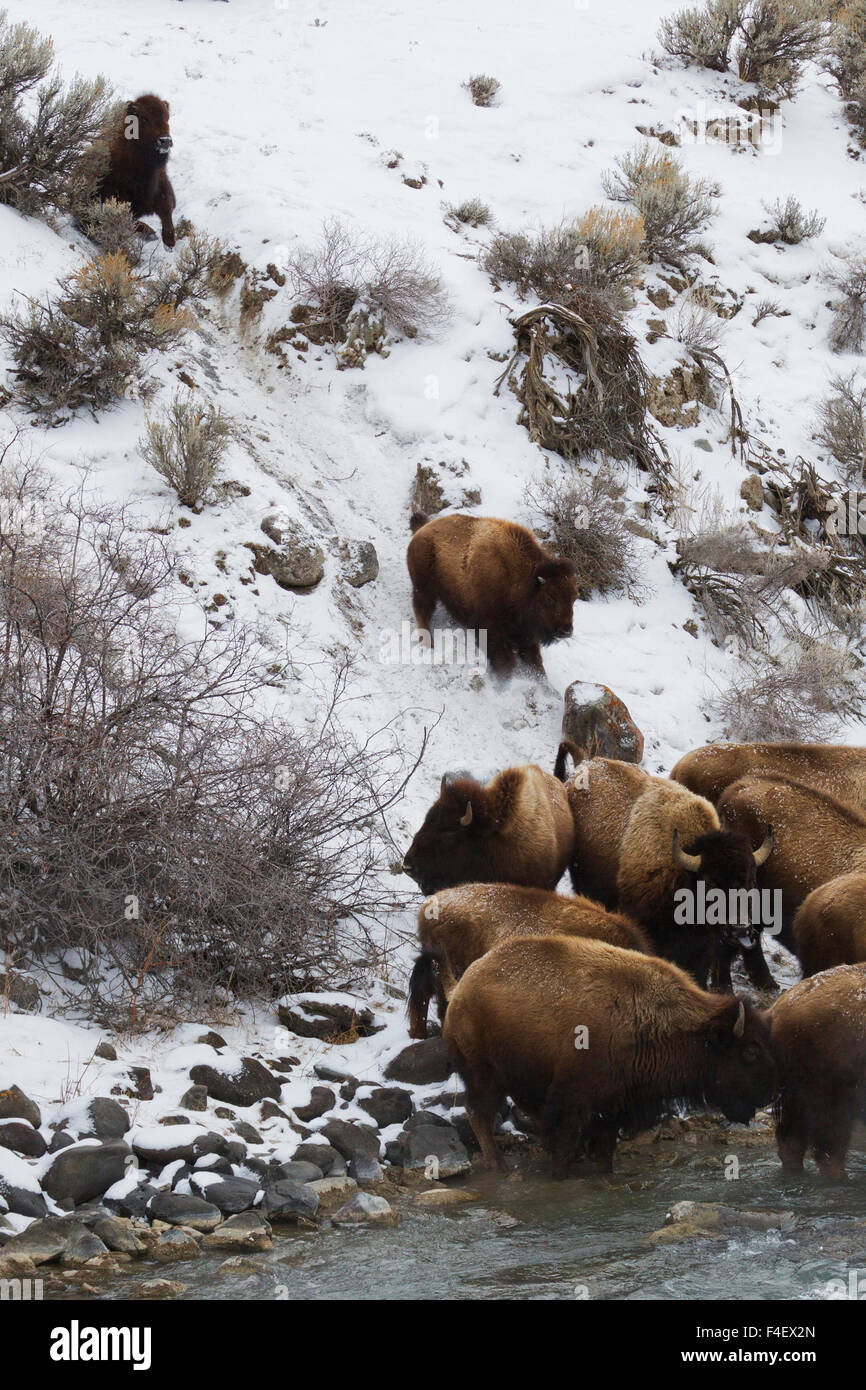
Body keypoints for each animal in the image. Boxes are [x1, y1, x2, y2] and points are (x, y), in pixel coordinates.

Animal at [407, 512, 578, 676]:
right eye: (549, 598)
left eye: (574, 598)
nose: (566, 630)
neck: (520, 579)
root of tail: (422, 530)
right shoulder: (492, 630)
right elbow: (504, 663)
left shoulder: (526, 635)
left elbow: (536, 665)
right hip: (423, 589)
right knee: (422, 613)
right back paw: (428, 644)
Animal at [443, 934, 777, 1175]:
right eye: (750, 1051)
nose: (769, 1095)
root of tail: (461, 989)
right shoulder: (575, 1103)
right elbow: (565, 1145)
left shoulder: (613, 1107)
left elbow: (604, 1150)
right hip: (484, 1076)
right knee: (479, 1114)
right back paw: (498, 1166)